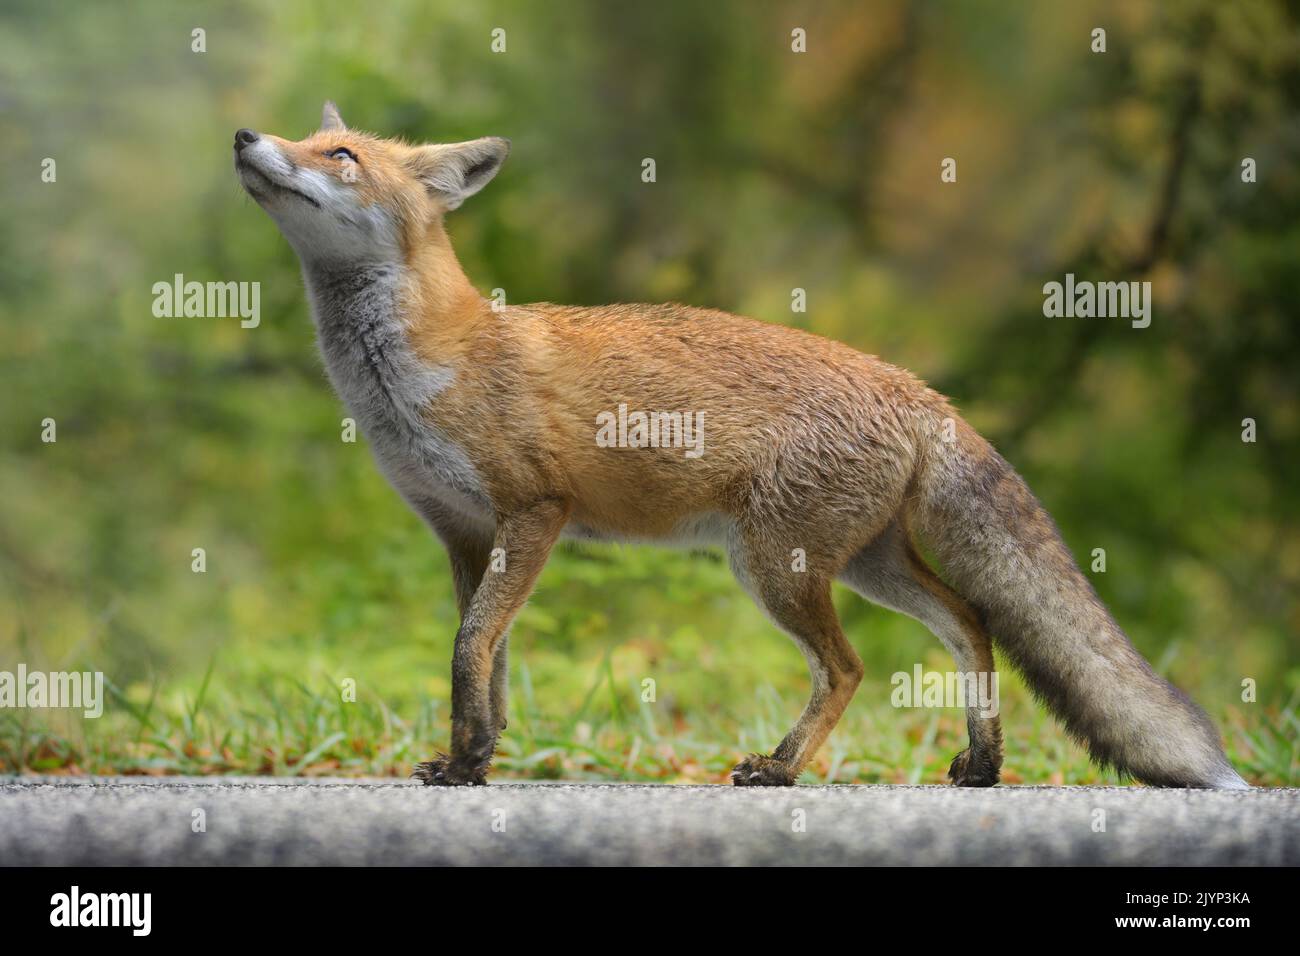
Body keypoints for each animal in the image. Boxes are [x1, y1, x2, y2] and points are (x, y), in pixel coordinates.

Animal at [233, 102, 1248, 789]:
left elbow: (468, 646)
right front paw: (474, 756)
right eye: (304, 136)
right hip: (861, 562)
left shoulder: (534, 511)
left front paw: (466, 763)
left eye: (339, 157)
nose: (245, 139)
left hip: (775, 567)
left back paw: (783, 768)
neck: (429, 366)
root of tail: (917, 387)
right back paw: (982, 763)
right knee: (972, 623)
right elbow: (486, 659)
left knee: (852, 666)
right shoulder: (463, 534)